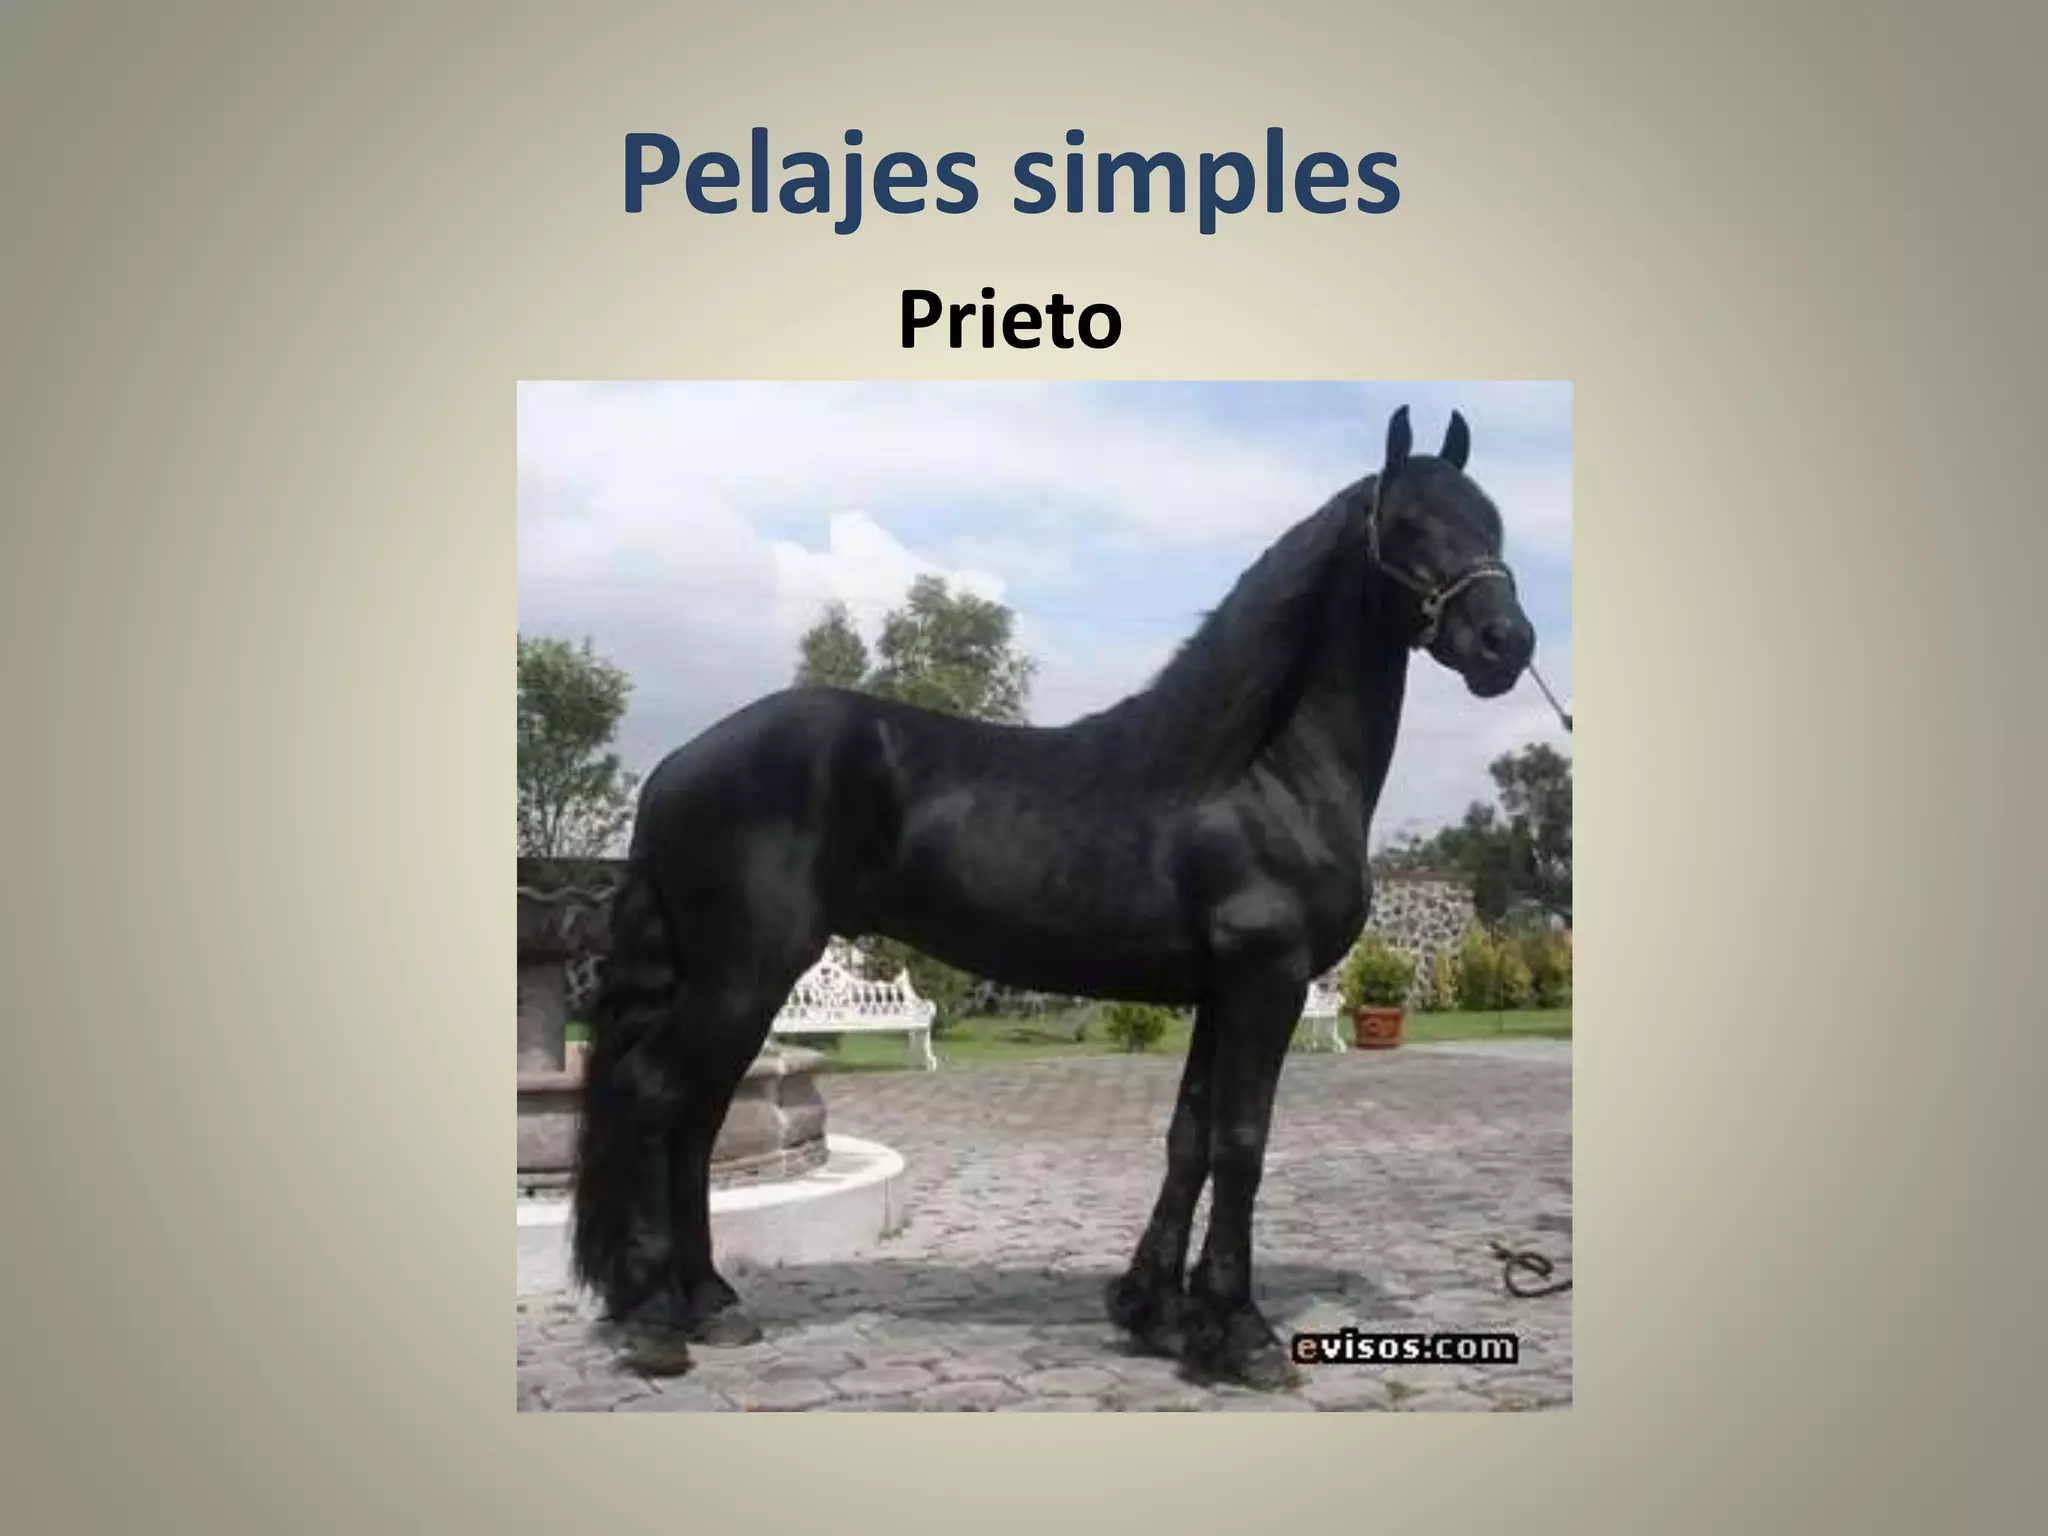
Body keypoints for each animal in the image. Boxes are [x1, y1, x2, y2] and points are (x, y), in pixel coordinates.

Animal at [571, 404, 1542, 1390]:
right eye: (1410, 524)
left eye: (1491, 522)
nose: (1509, 645)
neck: (1259, 769)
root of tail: (675, 765)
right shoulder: (1265, 980)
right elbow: (1242, 1143)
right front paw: (1242, 1334)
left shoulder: (1219, 992)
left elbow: (1189, 1140)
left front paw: (1157, 1314)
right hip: (747, 972)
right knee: (658, 1096)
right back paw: (656, 1318)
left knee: (695, 1119)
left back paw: (712, 1302)